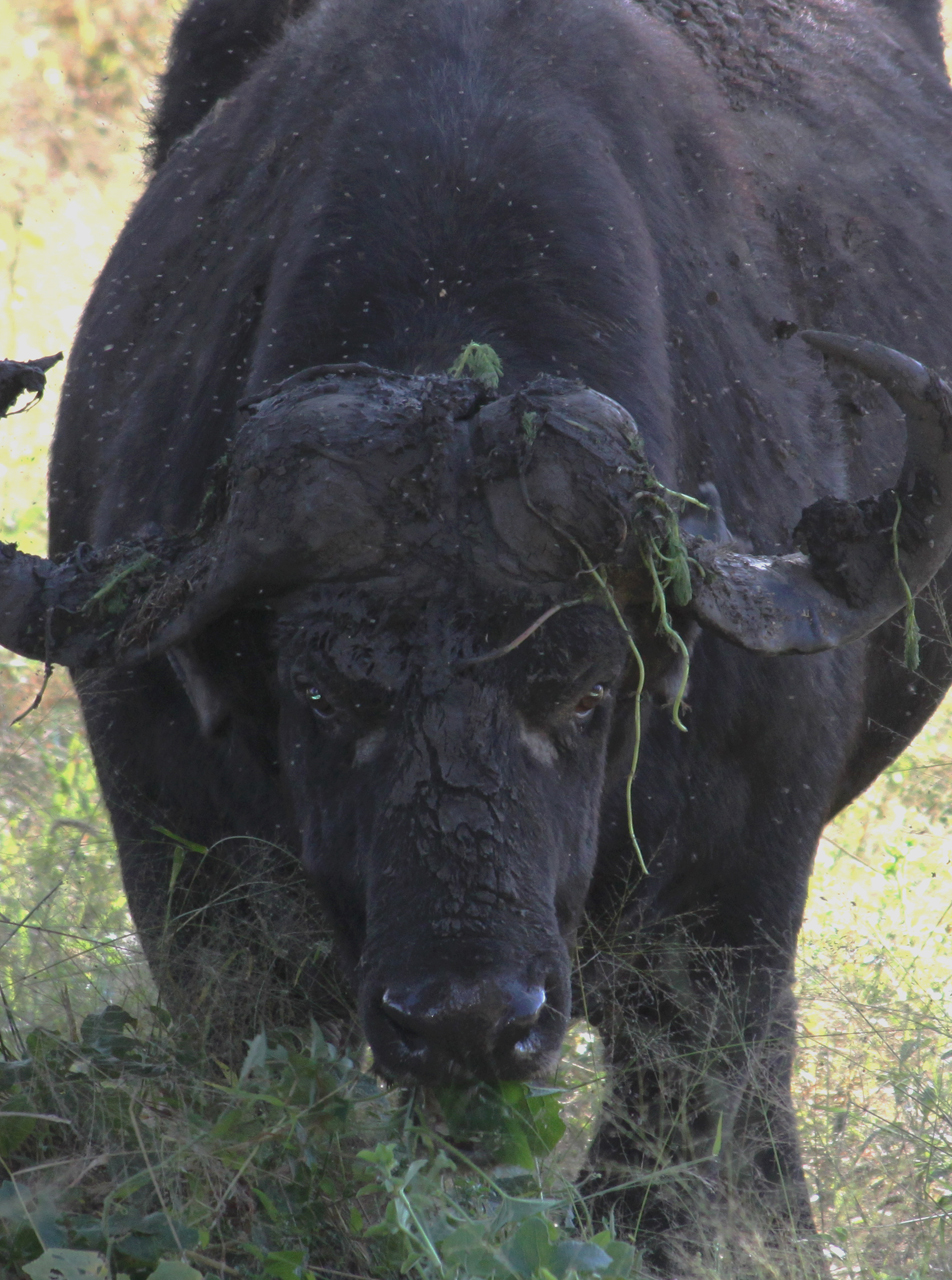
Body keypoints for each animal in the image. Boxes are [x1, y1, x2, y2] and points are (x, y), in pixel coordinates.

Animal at [3, 0, 952, 1266]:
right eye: (322, 697)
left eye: (589, 696)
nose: (464, 1022)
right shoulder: (183, 860)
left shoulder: (735, 891)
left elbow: (662, 1155)